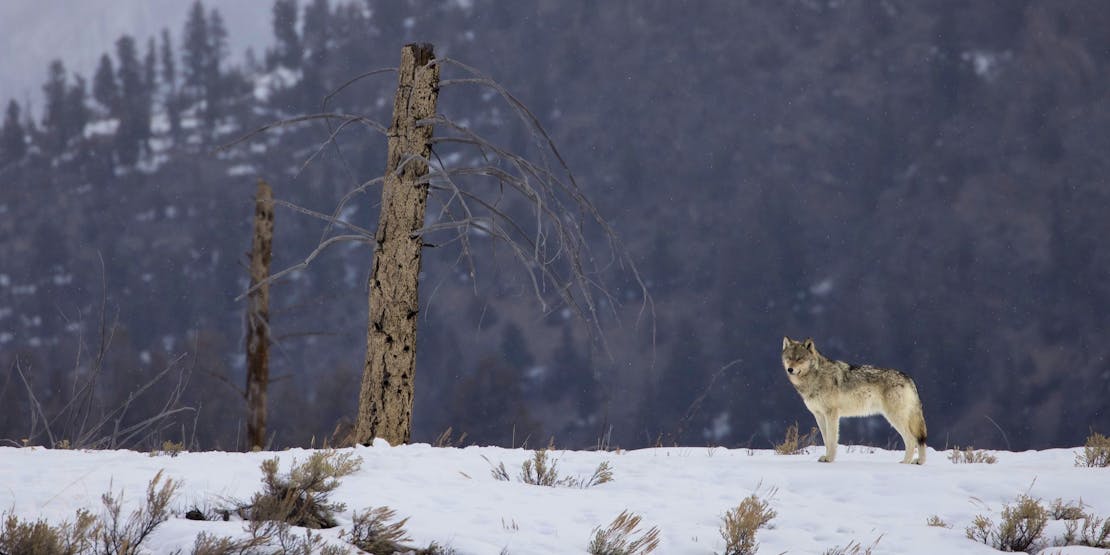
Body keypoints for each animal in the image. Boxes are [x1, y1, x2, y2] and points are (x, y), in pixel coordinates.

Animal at [780, 337, 927, 464]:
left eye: (799, 358)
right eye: (789, 358)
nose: (790, 369)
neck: (815, 377)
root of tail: (908, 378)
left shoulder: (831, 414)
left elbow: (832, 440)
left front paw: (830, 459)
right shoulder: (819, 415)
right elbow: (826, 440)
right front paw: (826, 457)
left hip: (895, 418)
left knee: (912, 439)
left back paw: (905, 463)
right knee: (918, 440)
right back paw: (919, 462)